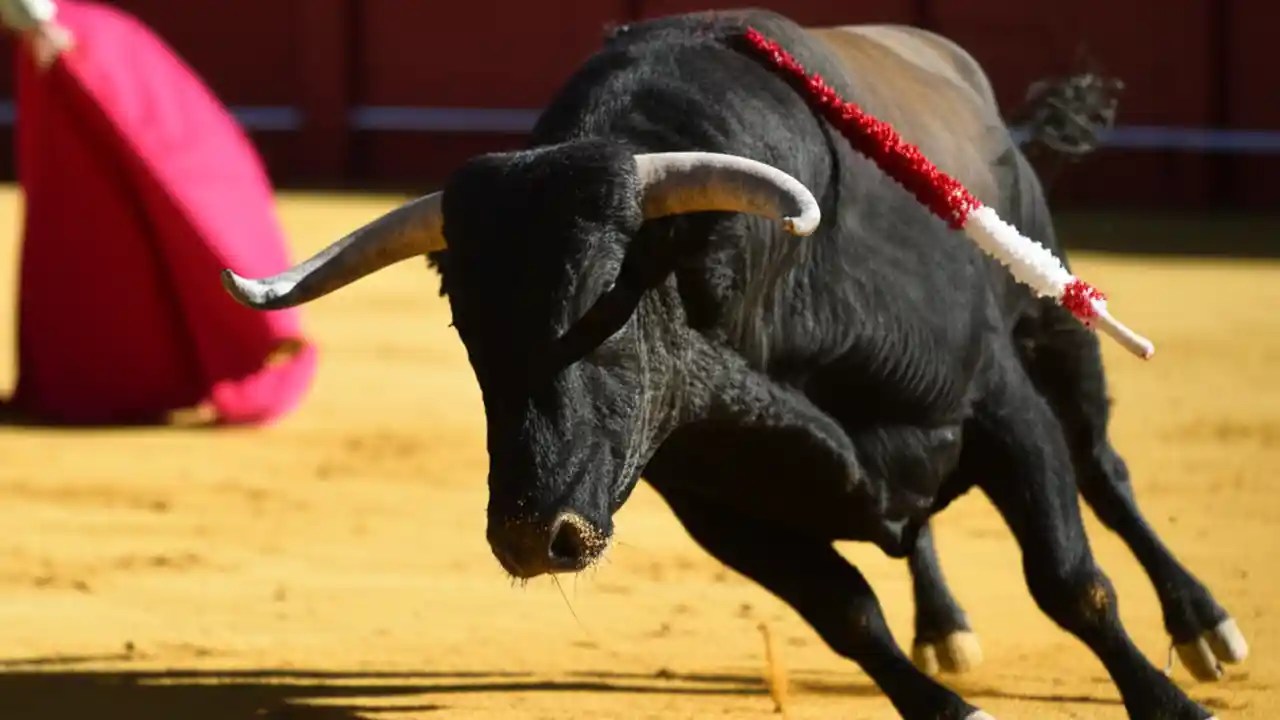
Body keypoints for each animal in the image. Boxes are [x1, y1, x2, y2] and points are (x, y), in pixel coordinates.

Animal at [221, 9, 1245, 719]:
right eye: (470, 334)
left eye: (606, 310)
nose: (529, 536)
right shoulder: (719, 505)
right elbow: (846, 613)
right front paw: (948, 701)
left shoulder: (997, 403)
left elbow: (1070, 579)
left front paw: (1171, 704)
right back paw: (947, 628)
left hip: (1056, 330)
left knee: (1104, 472)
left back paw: (1205, 628)